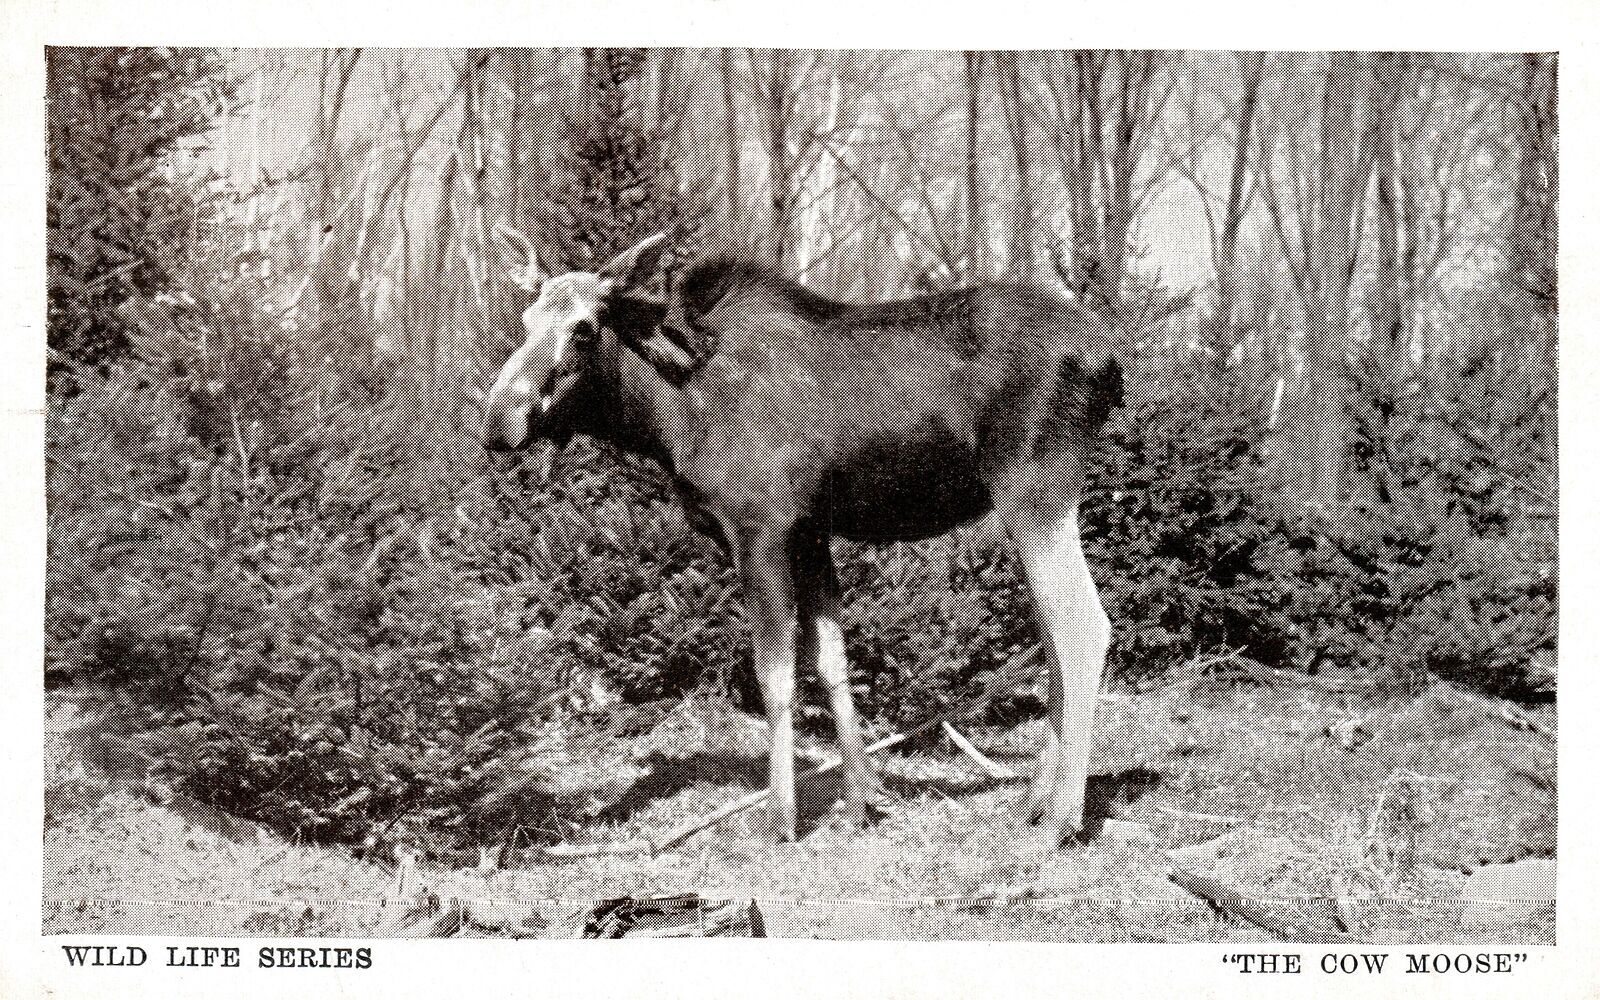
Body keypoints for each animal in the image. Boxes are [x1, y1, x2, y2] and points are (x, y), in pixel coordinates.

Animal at [482, 230, 1123, 847]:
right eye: (526, 320)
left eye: (584, 329)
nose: (498, 419)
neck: (662, 414)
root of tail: (1109, 358)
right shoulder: (811, 533)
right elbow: (832, 661)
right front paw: (859, 805)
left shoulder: (758, 527)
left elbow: (774, 675)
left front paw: (781, 818)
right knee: (1054, 639)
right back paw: (1035, 800)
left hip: (1035, 494)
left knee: (1083, 627)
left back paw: (1061, 818)